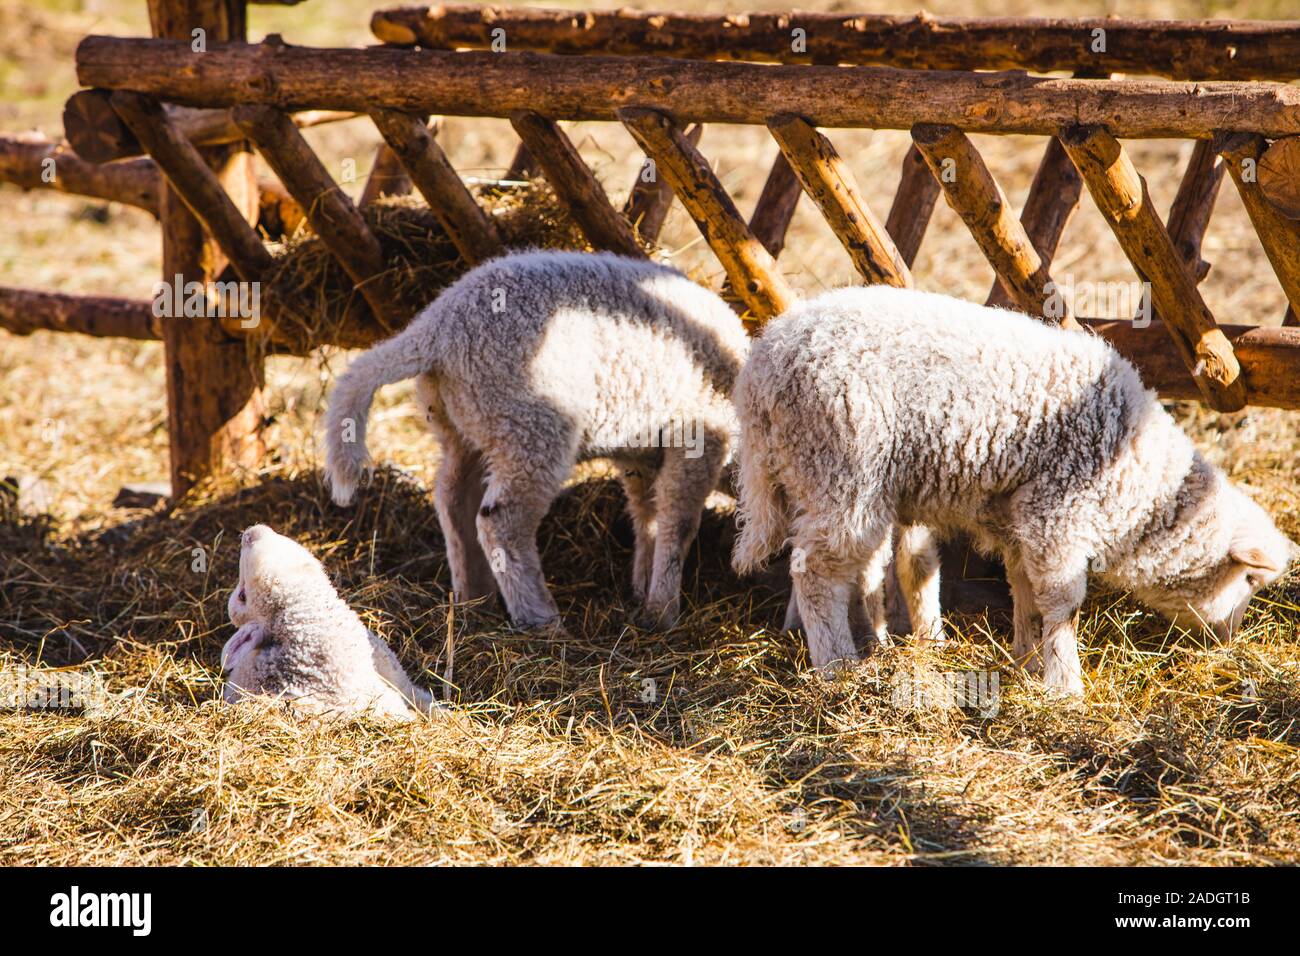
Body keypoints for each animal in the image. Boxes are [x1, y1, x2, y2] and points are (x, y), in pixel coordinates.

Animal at [324, 250, 749, 632]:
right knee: (501, 521)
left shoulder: (642, 455)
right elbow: (678, 521)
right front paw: (663, 612)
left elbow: (648, 515)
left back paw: (474, 601)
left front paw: (643, 589)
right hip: (531, 425)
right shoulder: (700, 435)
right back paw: (542, 621)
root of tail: (436, 329)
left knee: (453, 499)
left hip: (465, 425)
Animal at [732, 285, 1297, 694]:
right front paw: (1066, 686)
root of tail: (761, 370)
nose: (1227, 641)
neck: (1139, 484)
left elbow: (1025, 592)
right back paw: (837, 666)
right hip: (841, 466)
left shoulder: (1025, 523)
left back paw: (876, 644)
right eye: (1249, 581)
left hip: (824, 479)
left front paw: (1026, 661)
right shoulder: (1058, 515)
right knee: (816, 574)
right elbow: (1063, 603)